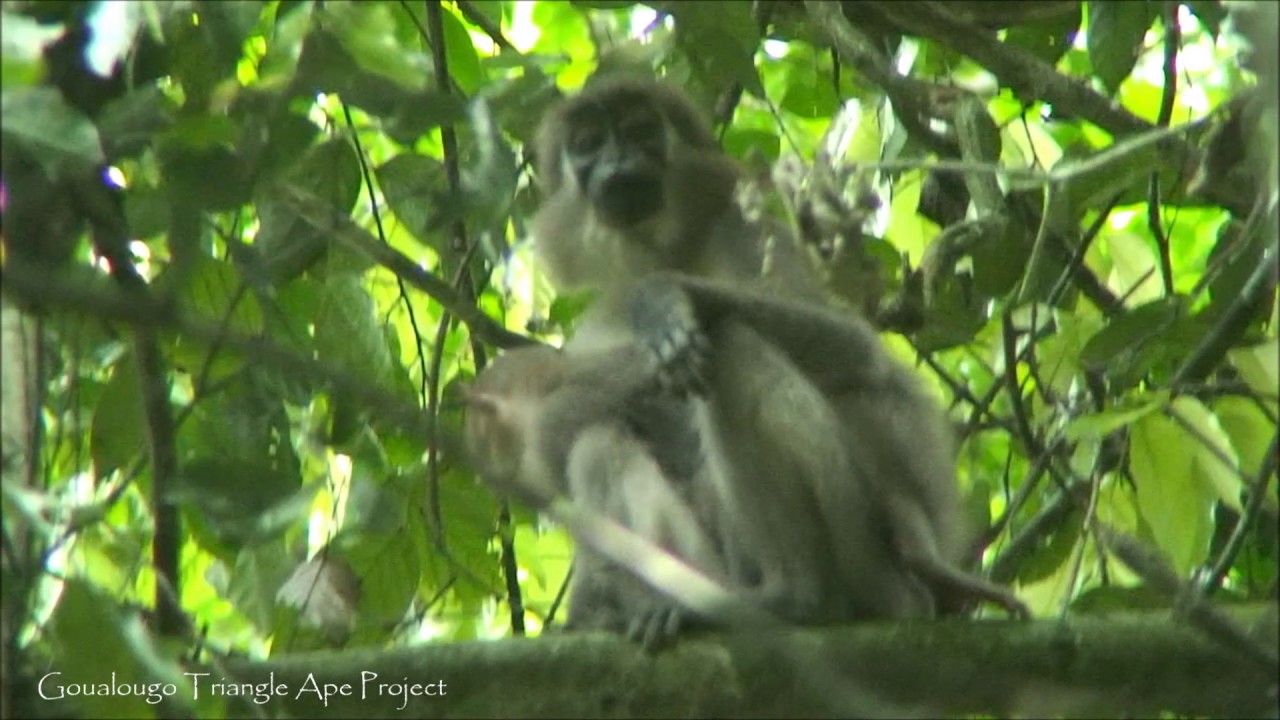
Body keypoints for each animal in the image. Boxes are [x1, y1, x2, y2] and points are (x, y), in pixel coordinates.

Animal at [529, 75, 1027, 625]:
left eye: (641, 131)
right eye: (588, 144)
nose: (617, 162)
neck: (662, 248)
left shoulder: (742, 227)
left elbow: (854, 346)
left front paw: (662, 299)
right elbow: (559, 440)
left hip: (866, 549)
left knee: (734, 341)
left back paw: (801, 595)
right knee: (596, 447)